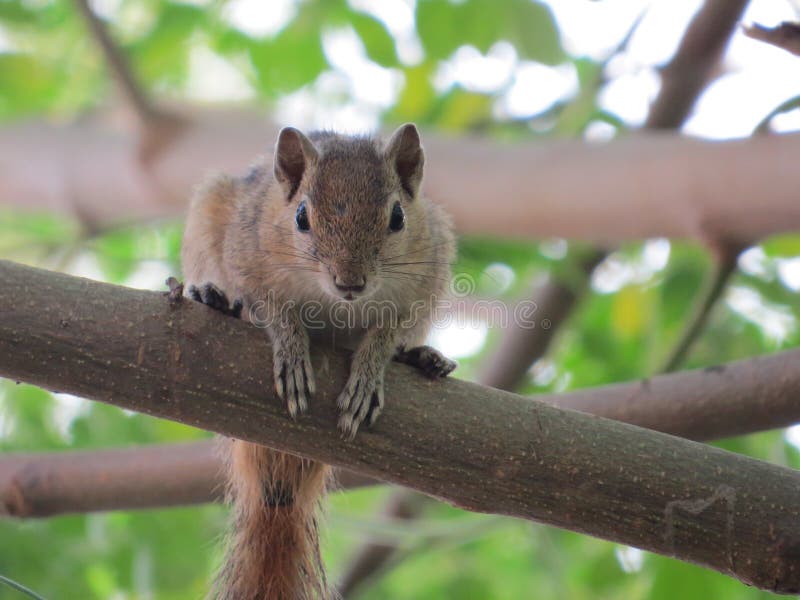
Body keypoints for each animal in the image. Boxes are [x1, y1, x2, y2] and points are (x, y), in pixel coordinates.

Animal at [181, 123, 456, 599]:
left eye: (398, 218)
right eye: (301, 217)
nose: (350, 283)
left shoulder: (427, 274)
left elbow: (388, 331)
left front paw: (369, 372)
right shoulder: (247, 253)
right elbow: (273, 310)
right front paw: (291, 350)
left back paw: (422, 357)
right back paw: (212, 297)